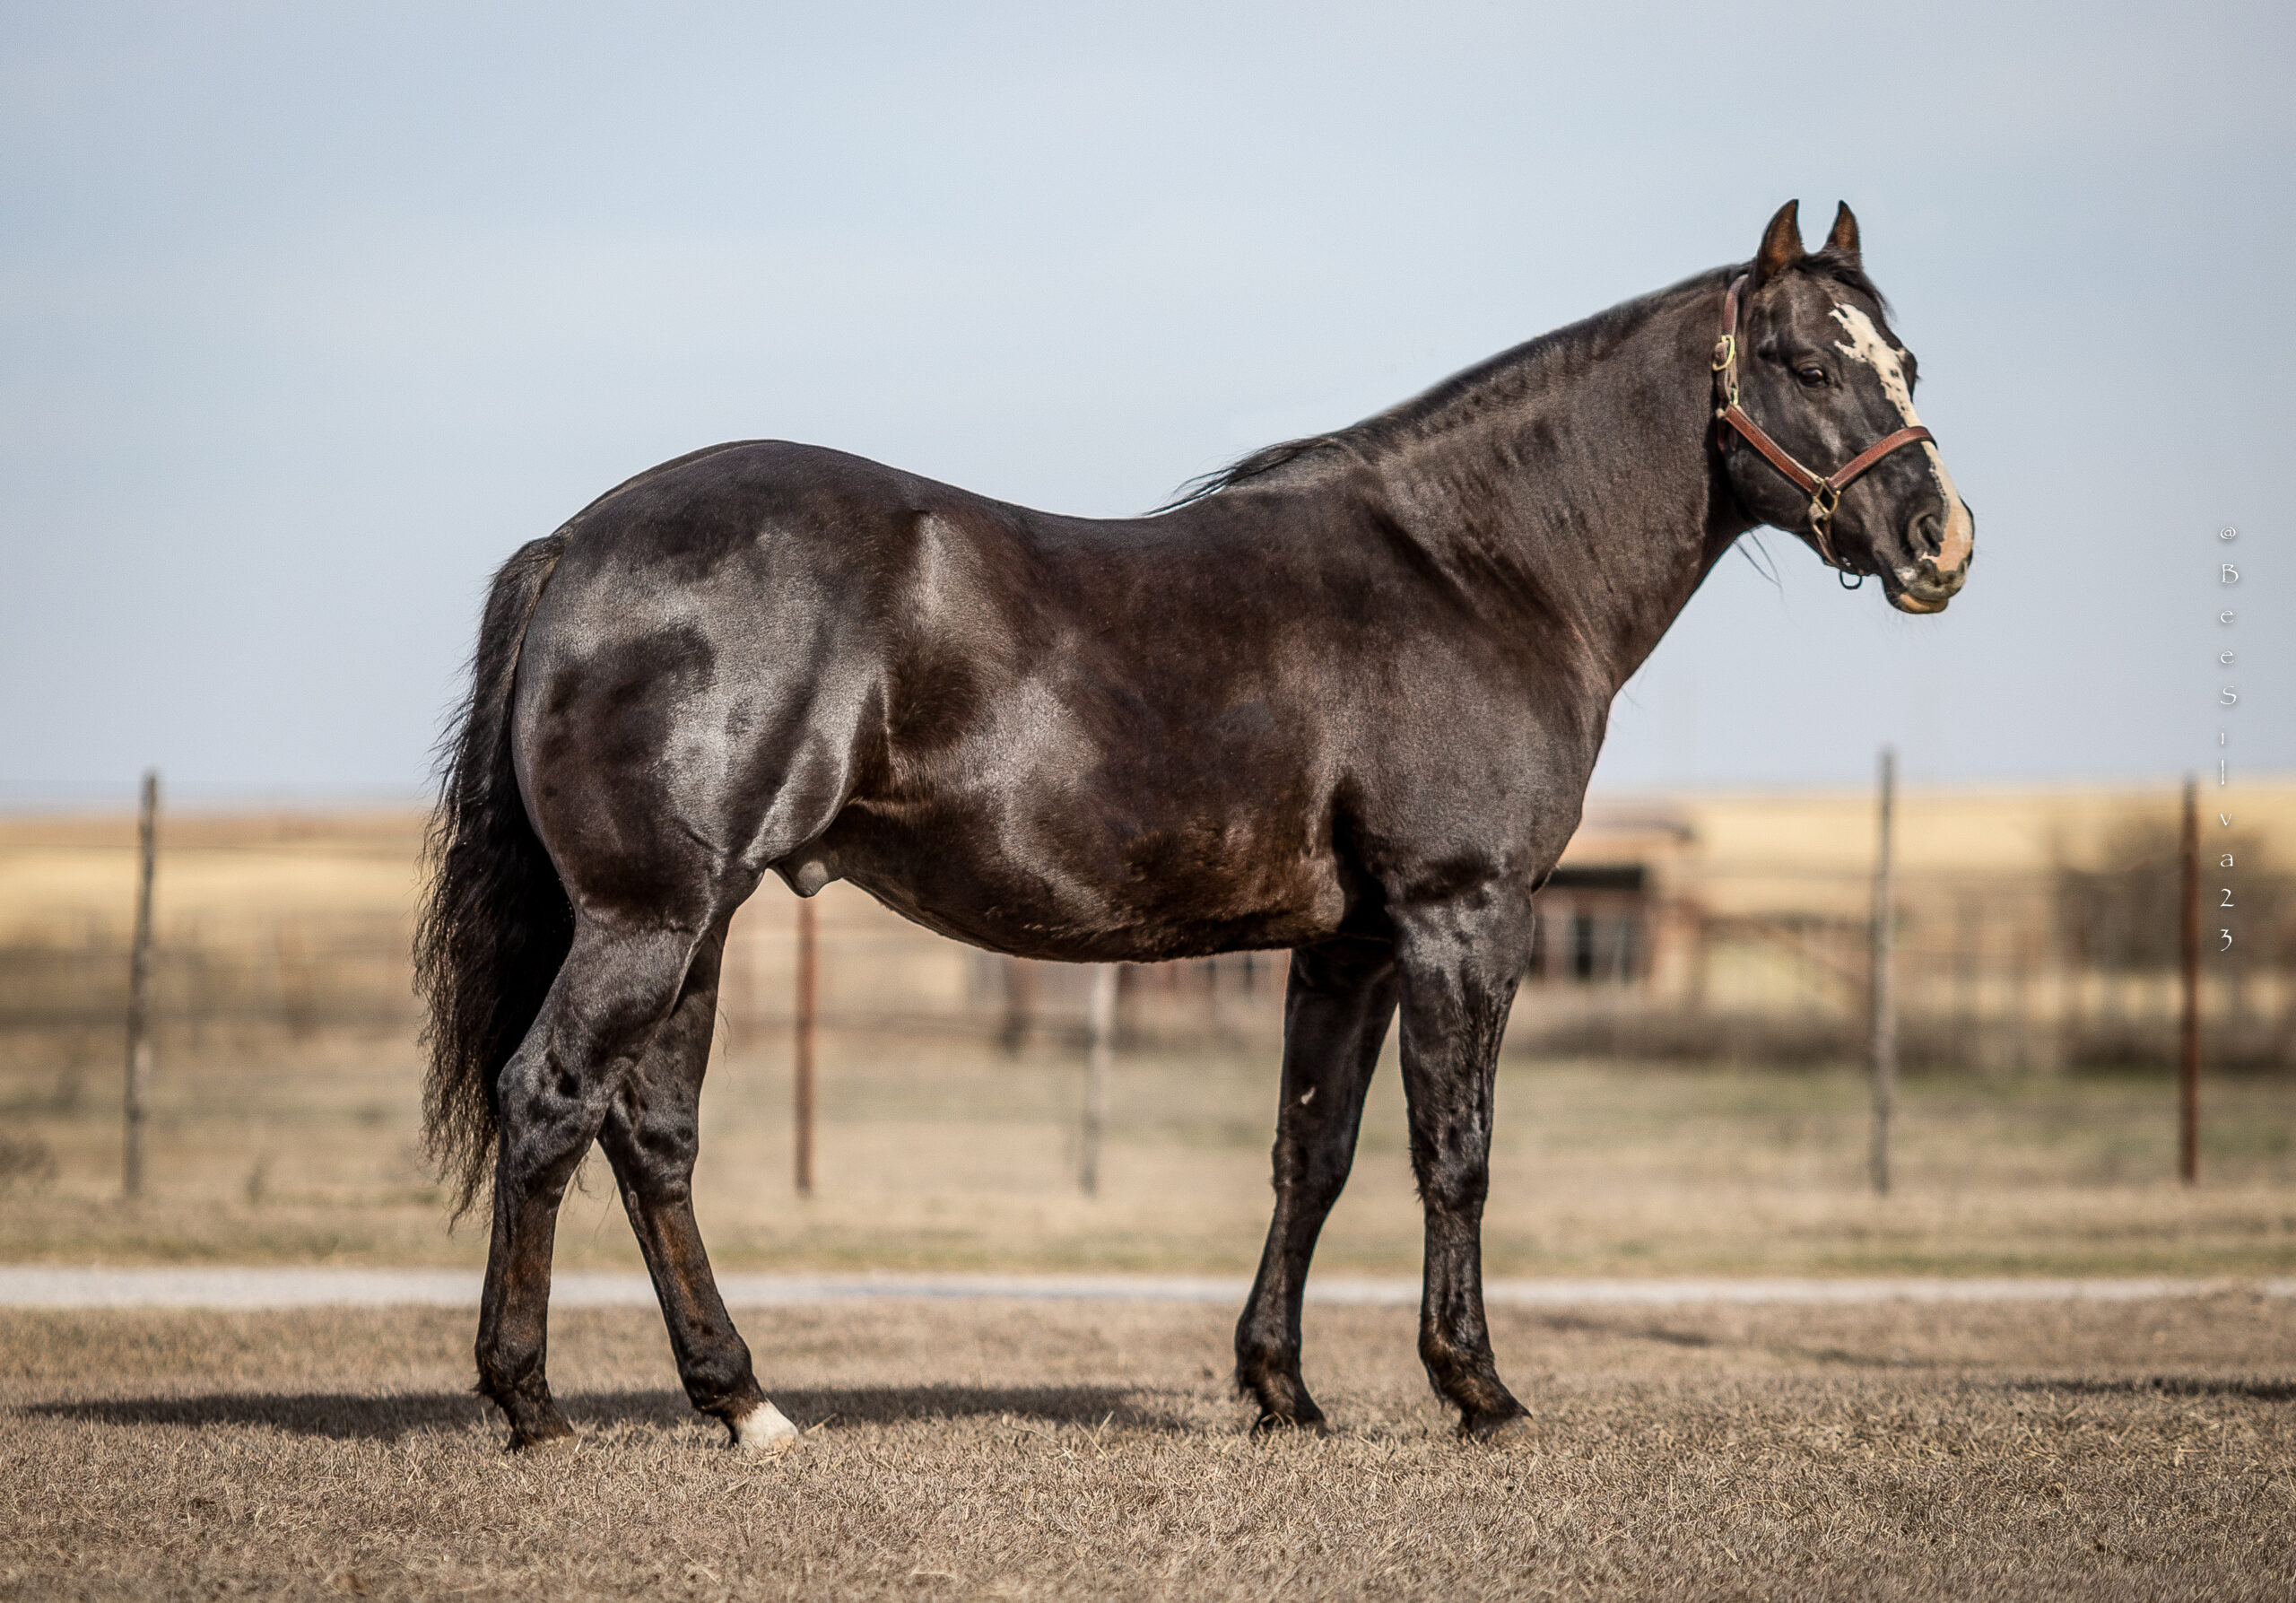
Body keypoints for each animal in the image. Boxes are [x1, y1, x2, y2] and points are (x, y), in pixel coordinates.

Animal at [416, 200, 1974, 1451]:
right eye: (1806, 363)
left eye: (1905, 362)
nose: (1939, 538)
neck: (1473, 569)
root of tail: (582, 543)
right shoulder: (1464, 914)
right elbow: (1454, 1150)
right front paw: (1477, 1389)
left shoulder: (1350, 944)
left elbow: (1313, 1153)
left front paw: (1283, 1388)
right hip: (650, 917)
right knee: (550, 1099)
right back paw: (531, 1404)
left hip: (701, 920)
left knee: (653, 1137)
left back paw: (742, 1400)